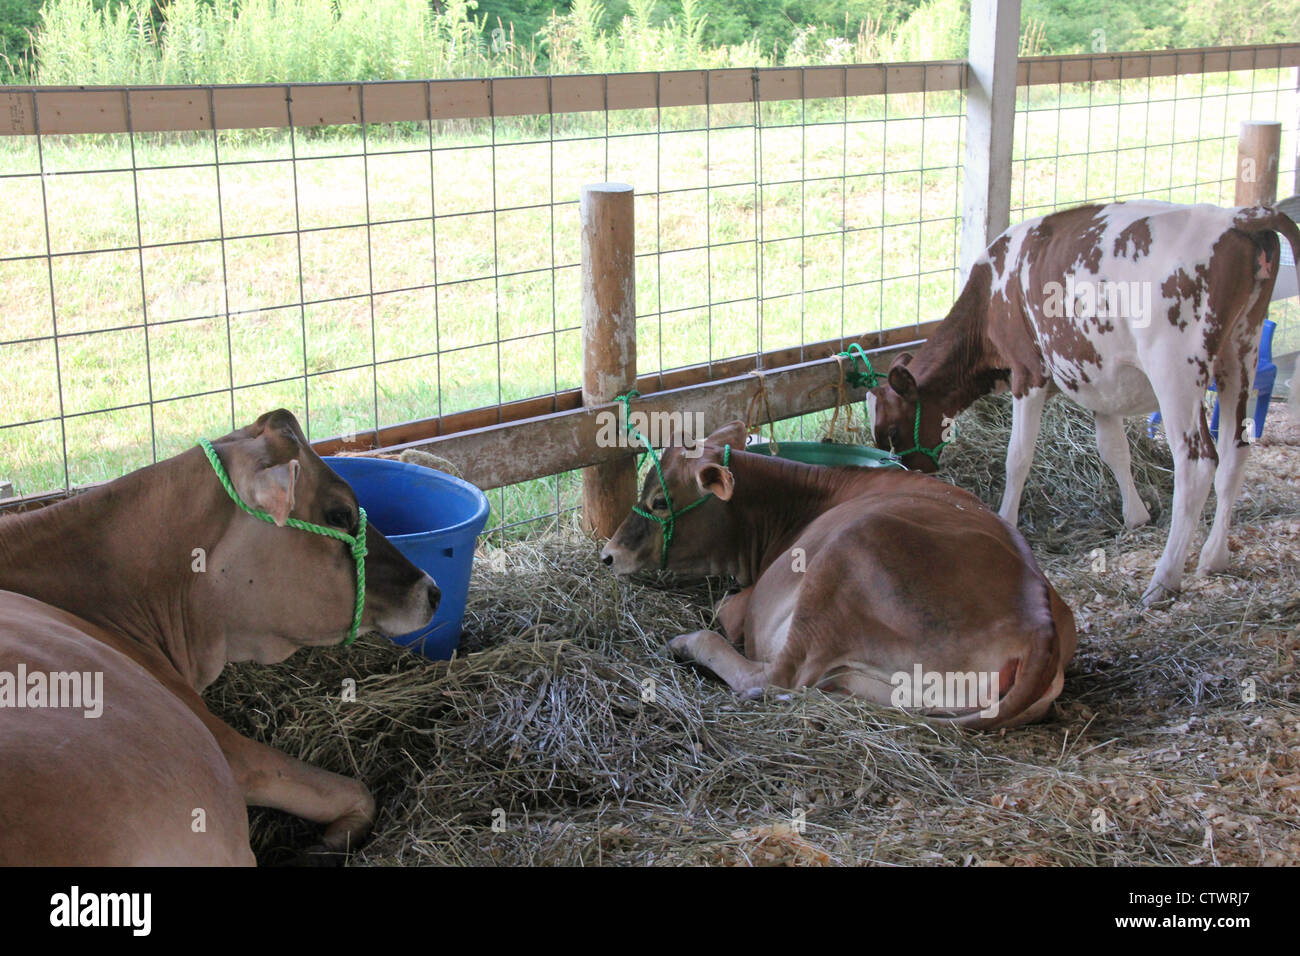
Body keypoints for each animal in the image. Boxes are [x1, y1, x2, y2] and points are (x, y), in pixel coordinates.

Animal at [599, 421, 1077, 730]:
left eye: (660, 501)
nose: (607, 554)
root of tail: (1040, 624)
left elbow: (726, 609)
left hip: (842, 563)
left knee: (772, 676)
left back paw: (686, 644)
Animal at [865, 202, 1300, 605]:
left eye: (891, 431)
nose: (909, 477)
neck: (992, 294)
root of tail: (1240, 217)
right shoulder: (1099, 382)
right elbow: (1114, 450)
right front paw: (1135, 515)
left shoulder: (1028, 372)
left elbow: (1018, 456)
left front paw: (1006, 518)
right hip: (1240, 352)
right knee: (1235, 451)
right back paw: (1214, 556)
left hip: (1175, 367)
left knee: (1197, 463)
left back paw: (1164, 579)